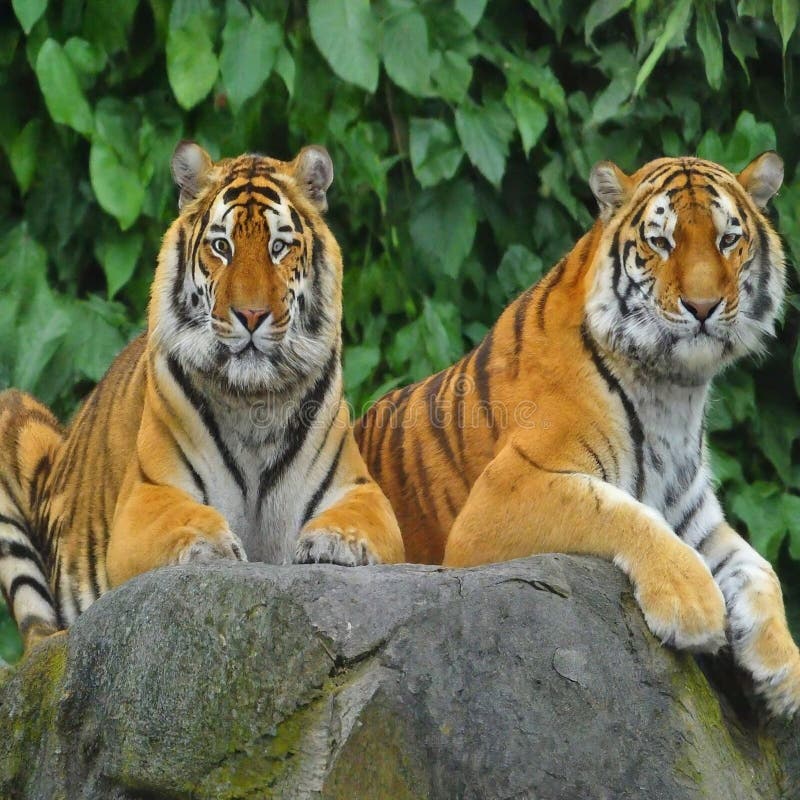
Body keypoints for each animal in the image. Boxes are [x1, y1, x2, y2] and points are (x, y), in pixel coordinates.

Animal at [0, 141, 404, 652]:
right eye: (221, 246)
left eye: (278, 247)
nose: (250, 315)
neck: (255, 402)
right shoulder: (147, 496)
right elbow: (183, 520)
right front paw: (210, 546)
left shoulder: (360, 489)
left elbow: (360, 518)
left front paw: (335, 543)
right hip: (11, 410)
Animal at [356, 151, 800, 716]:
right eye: (662, 242)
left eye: (727, 240)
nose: (703, 307)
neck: (674, 391)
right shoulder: (505, 493)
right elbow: (621, 511)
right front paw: (694, 603)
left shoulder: (697, 519)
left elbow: (761, 568)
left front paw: (784, 668)